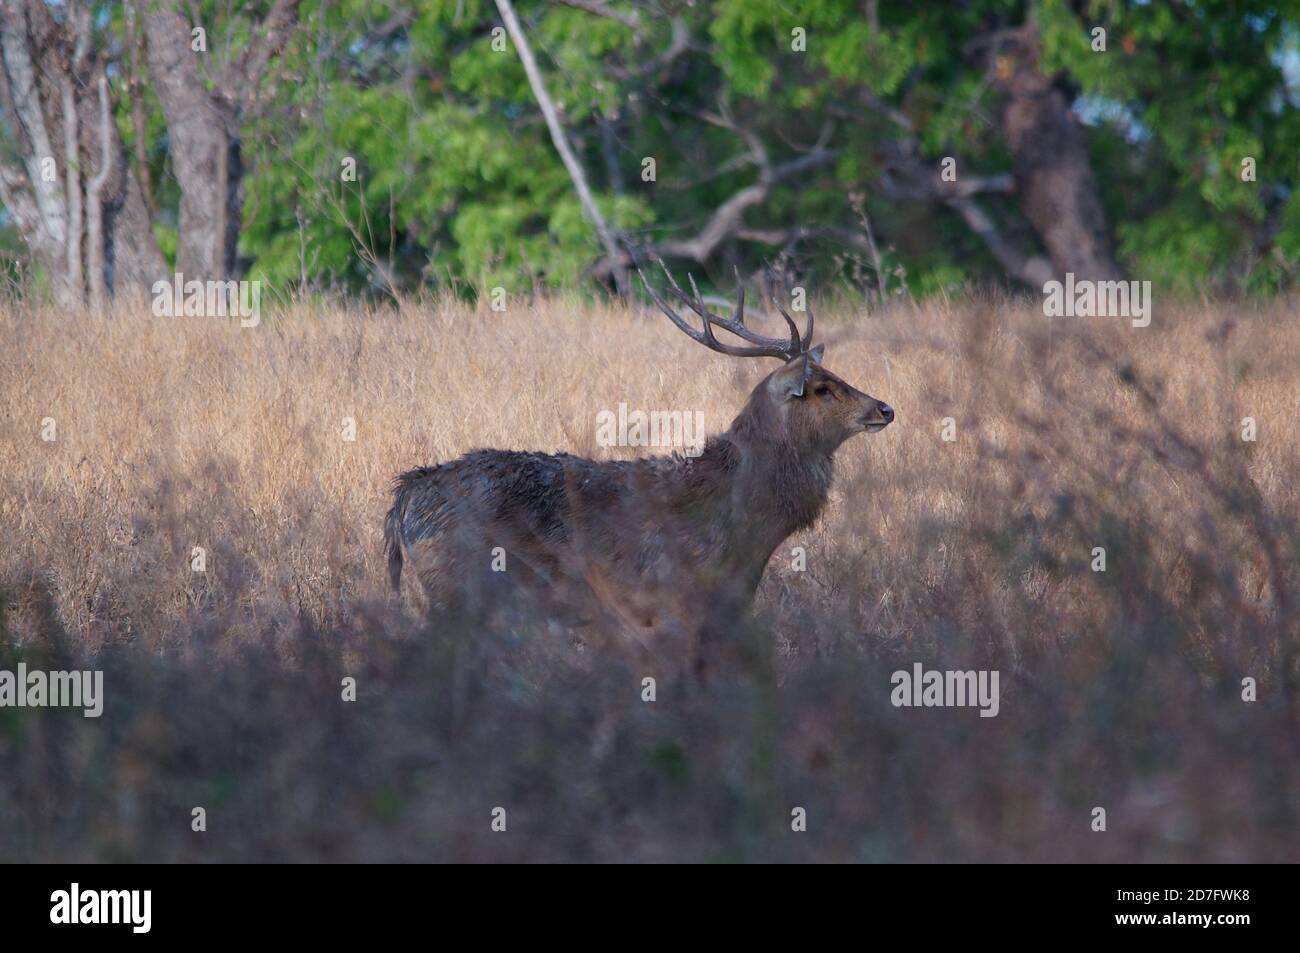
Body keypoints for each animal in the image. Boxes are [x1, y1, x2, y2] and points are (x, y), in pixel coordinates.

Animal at [384, 264, 894, 674]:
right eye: (822, 388)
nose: (885, 408)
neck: (741, 527)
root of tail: (405, 497)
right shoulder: (671, 604)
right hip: (455, 587)